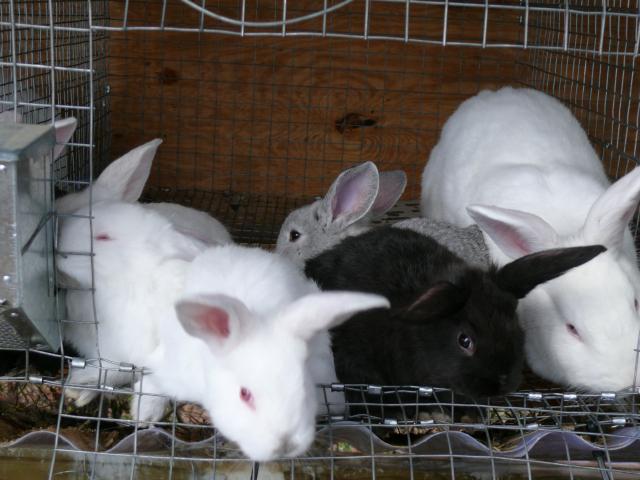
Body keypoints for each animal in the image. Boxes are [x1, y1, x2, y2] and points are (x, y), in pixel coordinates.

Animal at [57, 200, 389, 460]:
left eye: (102, 237)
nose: (58, 247)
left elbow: (152, 380)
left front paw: (144, 412)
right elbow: (108, 369)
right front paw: (79, 389)